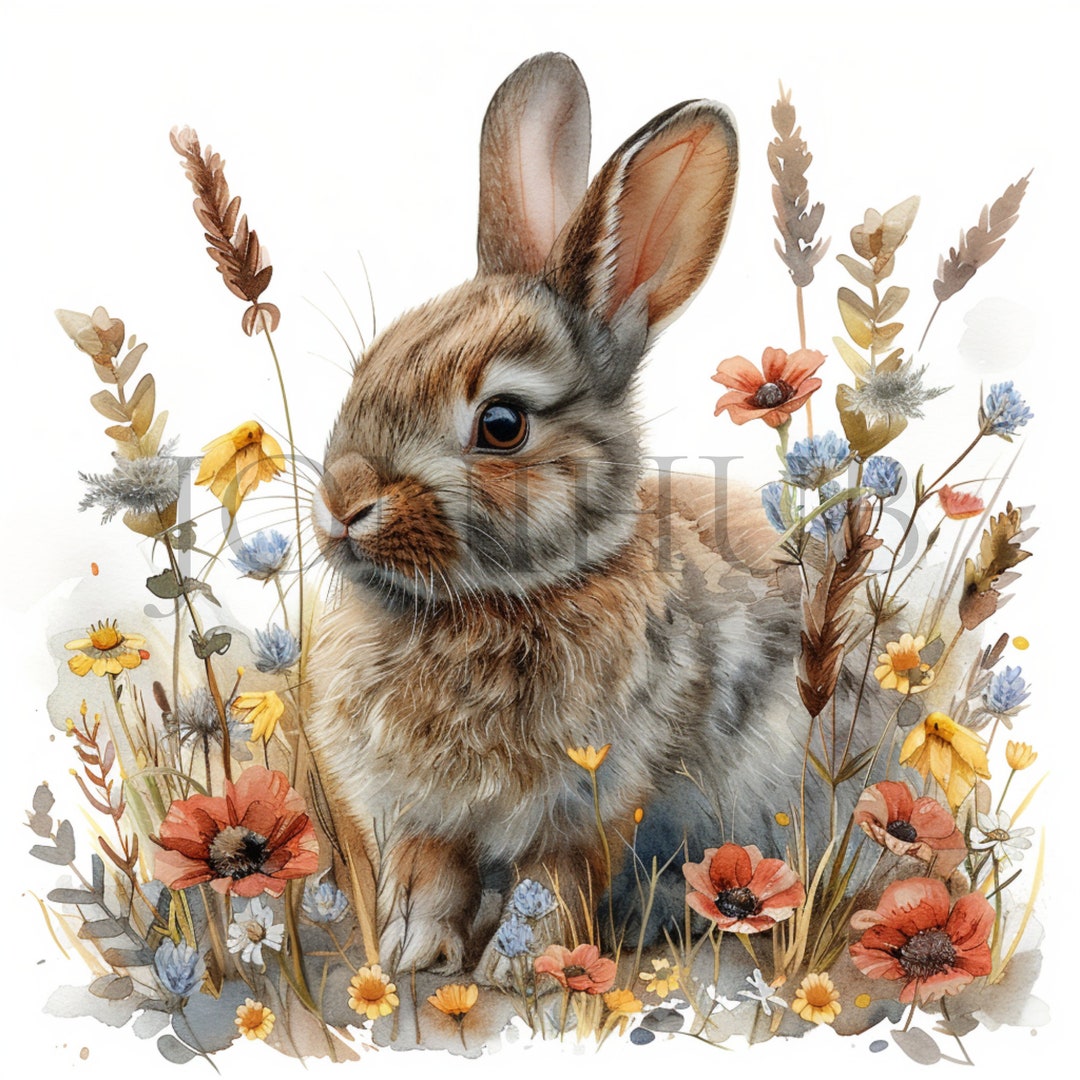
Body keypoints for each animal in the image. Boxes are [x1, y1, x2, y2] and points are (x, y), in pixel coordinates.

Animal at [305, 53, 828, 977]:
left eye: (501, 424)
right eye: (368, 367)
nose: (343, 507)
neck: (488, 604)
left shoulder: (592, 804)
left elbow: (554, 884)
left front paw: (526, 970)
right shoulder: (425, 817)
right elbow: (429, 876)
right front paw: (413, 957)